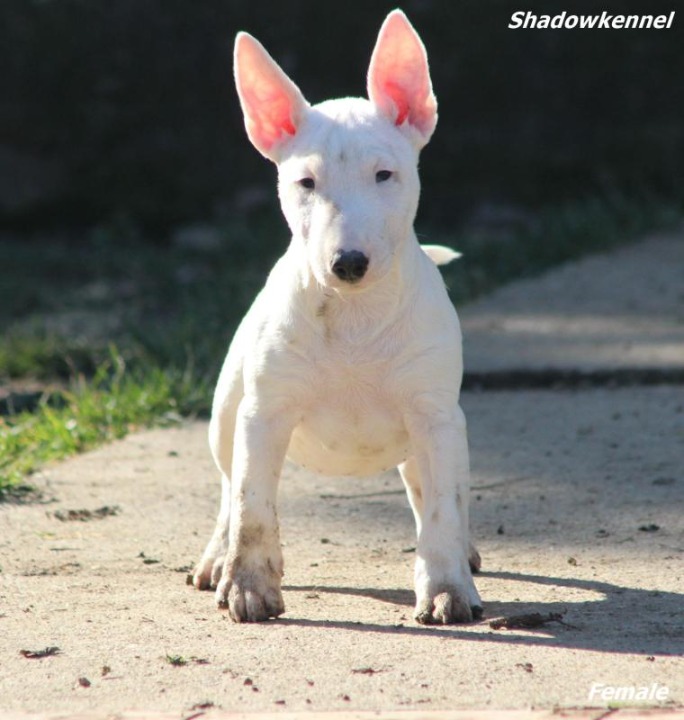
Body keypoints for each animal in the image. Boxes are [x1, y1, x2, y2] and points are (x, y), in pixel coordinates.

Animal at [192, 7, 480, 624]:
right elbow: (253, 506)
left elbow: (442, 508)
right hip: (225, 414)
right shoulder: (263, 413)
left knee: (430, 489)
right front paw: (248, 586)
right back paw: (216, 560)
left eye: (384, 175)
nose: (347, 262)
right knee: (229, 488)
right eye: (306, 182)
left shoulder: (435, 415)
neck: (354, 317)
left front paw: (447, 588)